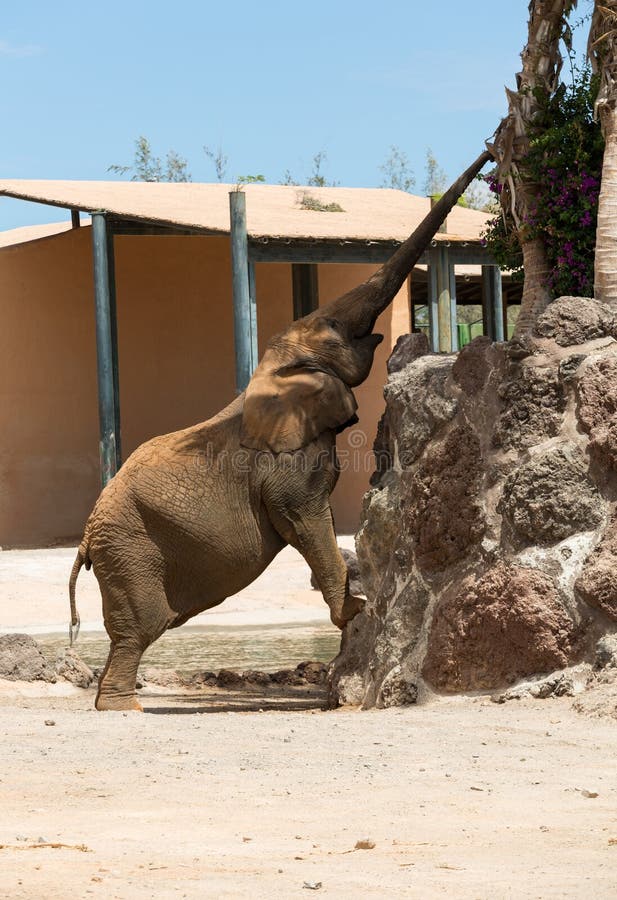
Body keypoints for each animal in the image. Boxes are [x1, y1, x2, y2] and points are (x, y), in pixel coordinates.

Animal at [69, 151, 489, 711]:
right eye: (332, 329)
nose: (491, 146)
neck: (275, 369)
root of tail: (85, 538)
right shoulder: (285, 464)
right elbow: (304, 518)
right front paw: (355, 611)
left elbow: (318, 519)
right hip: (129, 547)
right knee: (140, 628)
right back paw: (125, 708)